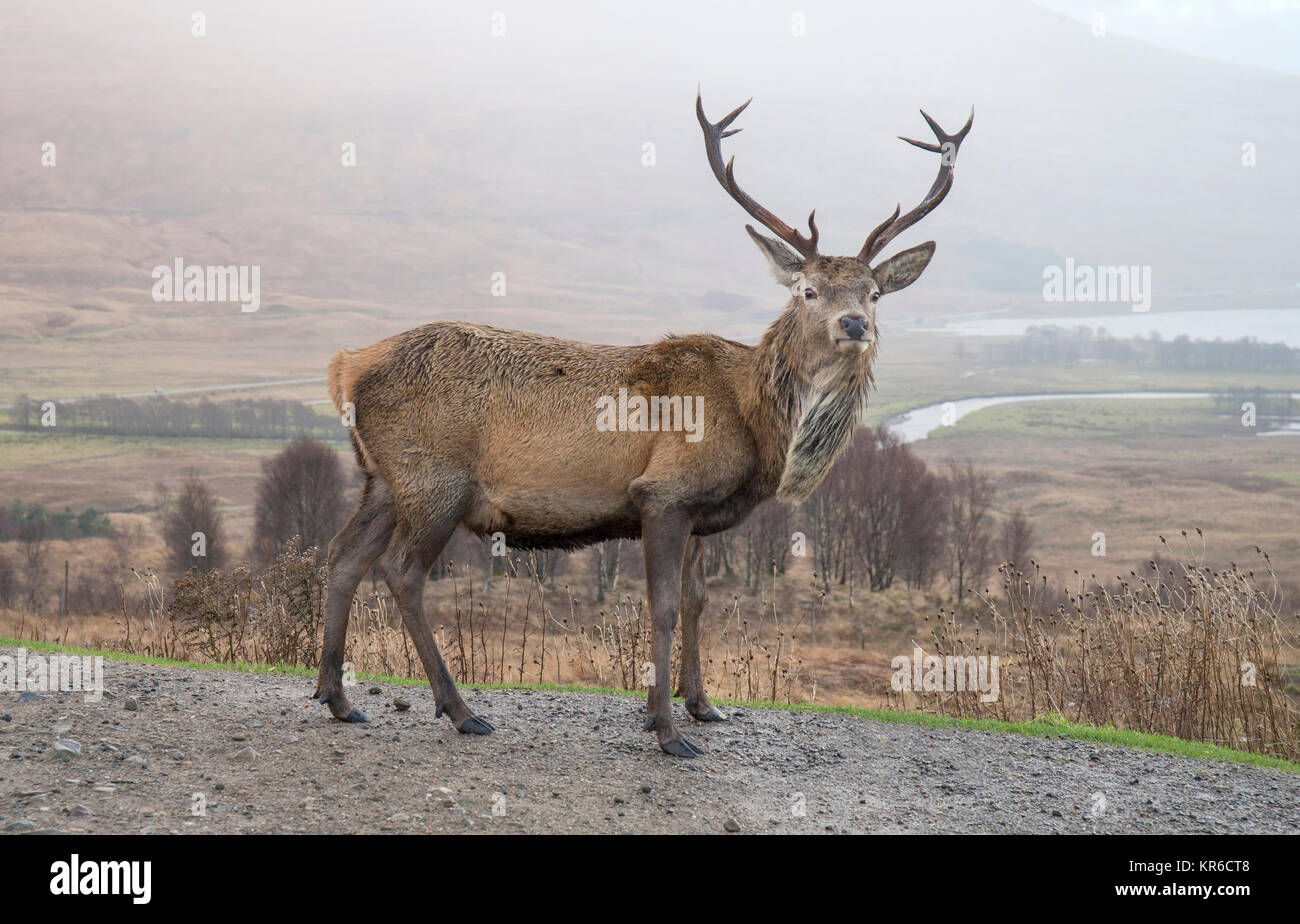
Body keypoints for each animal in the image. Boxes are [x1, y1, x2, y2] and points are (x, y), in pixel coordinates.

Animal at [313, 91, 972, 757]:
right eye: (808, 290)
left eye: (874, 293)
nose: (854, 325)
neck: (754, 417)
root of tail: (346, 367)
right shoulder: (663, 493)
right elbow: (662, 607)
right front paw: (665, 727)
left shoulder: (702, 513)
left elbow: (699, 600)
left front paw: (704, 705)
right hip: (434, 481)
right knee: (401, 572)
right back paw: (460, 709)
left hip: (382, 480)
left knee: (343, 555)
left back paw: (338, 698)